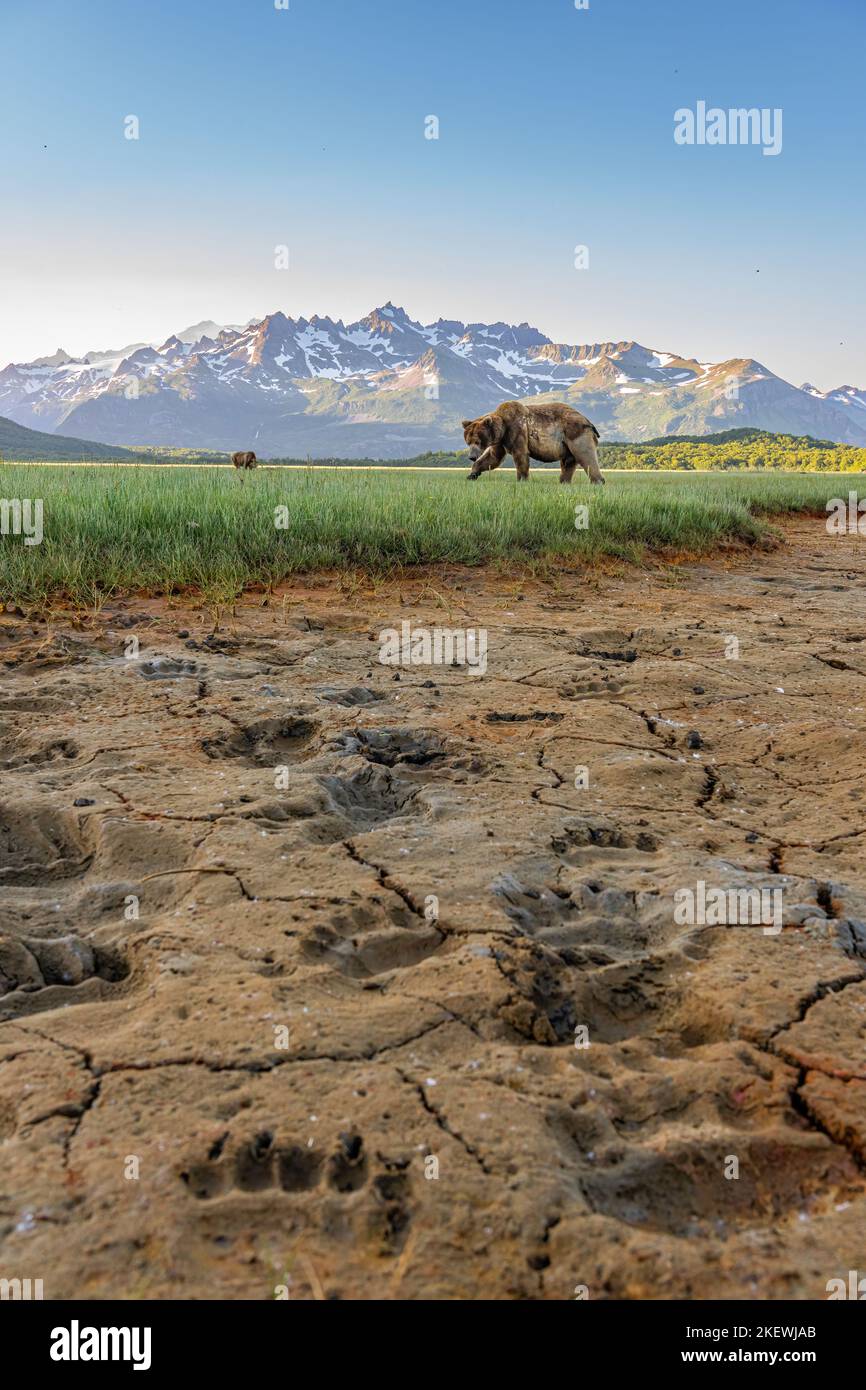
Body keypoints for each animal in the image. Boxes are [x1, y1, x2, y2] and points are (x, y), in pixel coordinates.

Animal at [462, 401, 604, 484]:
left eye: (477, 441)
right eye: (468, 441)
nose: (472, 457)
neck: (503, 427)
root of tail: (587, 420)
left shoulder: (517, 430)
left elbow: (520, 456)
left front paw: (522, 480)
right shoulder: (500, 440)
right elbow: (493, 457)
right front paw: (472, 474)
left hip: (576, 434)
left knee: (585, 456)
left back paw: (598, 481)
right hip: (566, 444)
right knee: (568, 462)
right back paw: (564, 482)